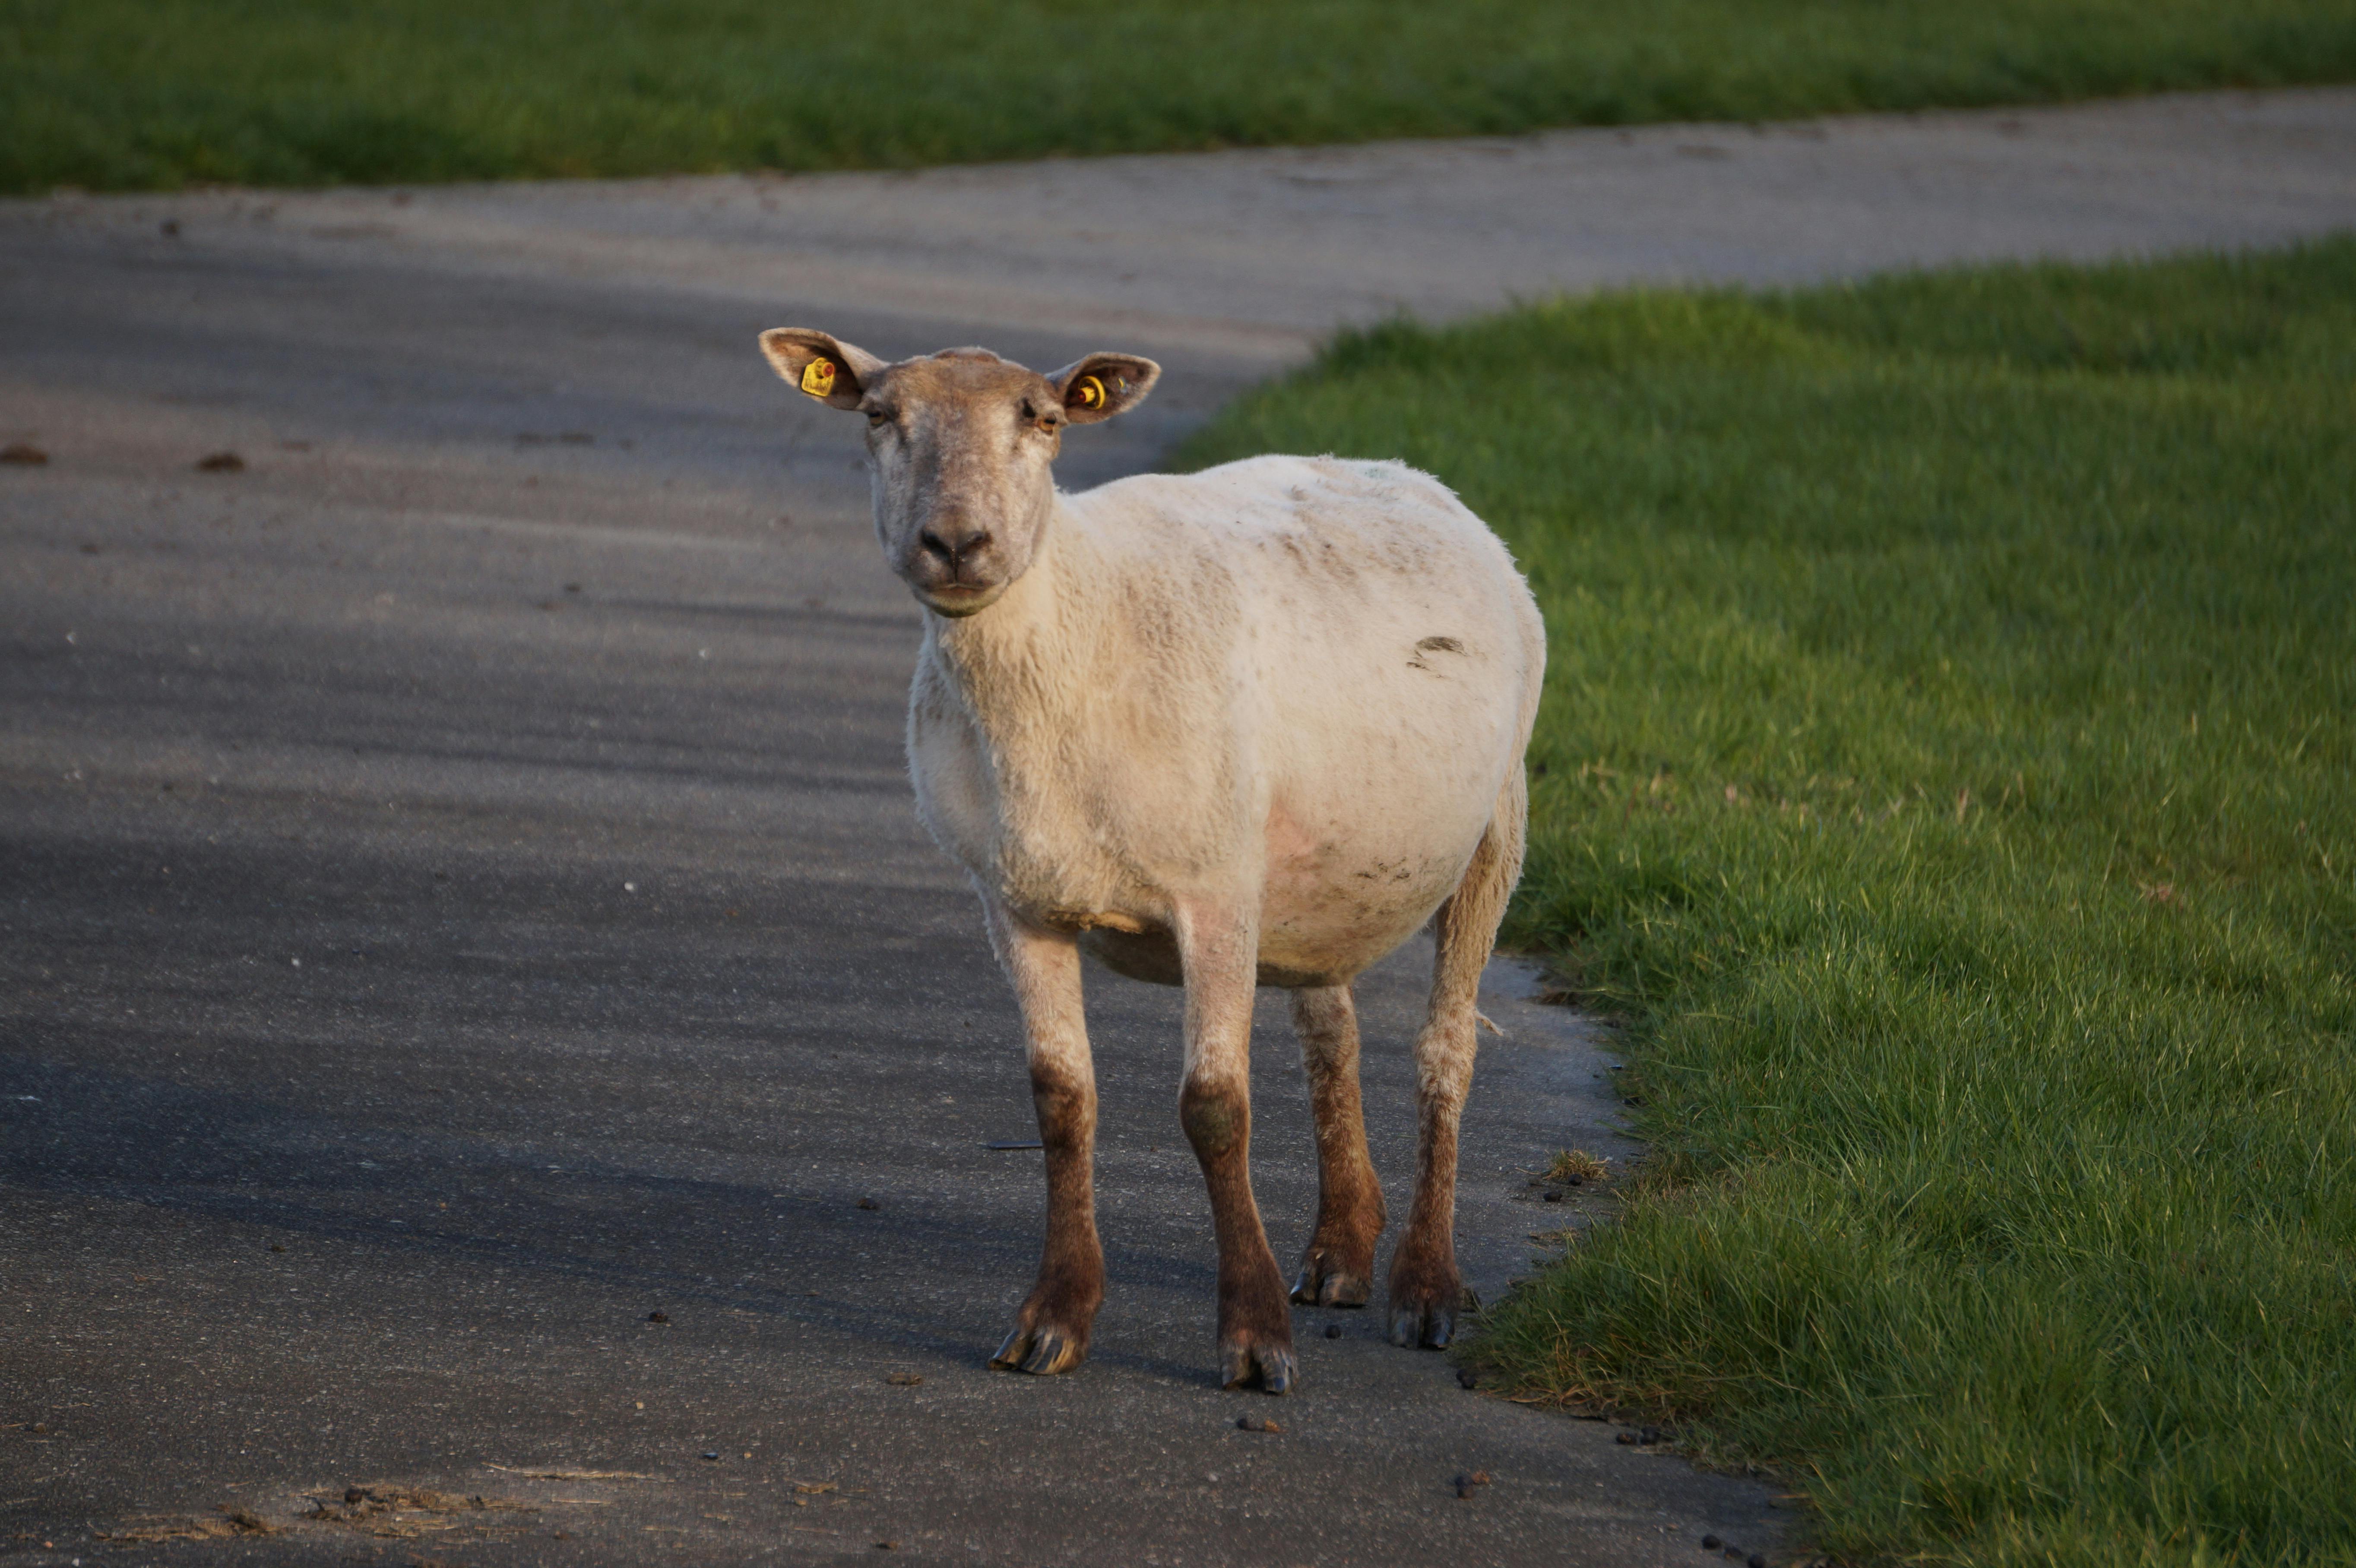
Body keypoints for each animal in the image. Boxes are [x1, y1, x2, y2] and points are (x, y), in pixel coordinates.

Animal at [759, 330, 1545, 1393]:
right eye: (879, 416)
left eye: (1045, 419)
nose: (956, 543)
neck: (1068, 626)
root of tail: (1404, 473)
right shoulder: (1015, 901)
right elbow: (1060, 1102)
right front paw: (1052, 1319)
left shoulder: (1215, 892)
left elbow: (1214, 1109)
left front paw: (1252, 1339)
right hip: (1309, 872)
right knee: (1329, 1028)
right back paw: (1341, 1246)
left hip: (1496, 823)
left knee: (1446, 1050)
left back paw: (1425, 1286)